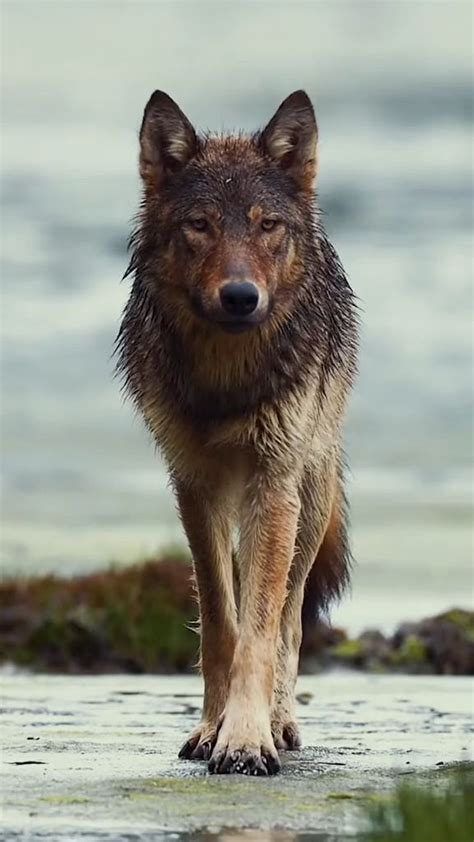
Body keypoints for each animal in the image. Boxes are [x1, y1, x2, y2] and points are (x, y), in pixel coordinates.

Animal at [117, 89, 359, 775]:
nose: (241, 296)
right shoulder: (194, 485)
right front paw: (211, 729)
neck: (227, 374)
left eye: (266, 225)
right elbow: (221, 623)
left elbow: (260, 627)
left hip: (307, 501)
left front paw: (247, 739)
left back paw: (280, 722)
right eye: (200, 225)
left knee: (291, 618)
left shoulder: (271, 483)